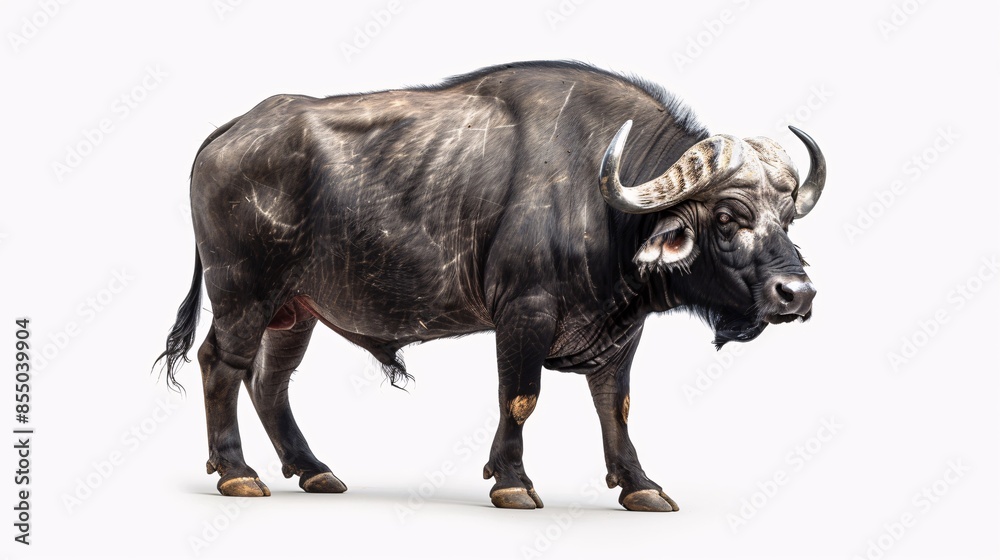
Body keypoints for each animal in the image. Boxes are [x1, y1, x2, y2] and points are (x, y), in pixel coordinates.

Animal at [156, 61, 825, 512]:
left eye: (786, 216)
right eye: (729, 217)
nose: (797, 294)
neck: (604, 206)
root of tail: (232, 131)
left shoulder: (621, 330)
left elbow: (617, 405)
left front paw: (640, 485)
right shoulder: (524, 312)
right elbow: (520, 395)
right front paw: (513, 481)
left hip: (296, 309)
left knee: (270, 382)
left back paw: (312, 469)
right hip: (243, 293)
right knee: (221, 364)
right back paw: (237, 472)